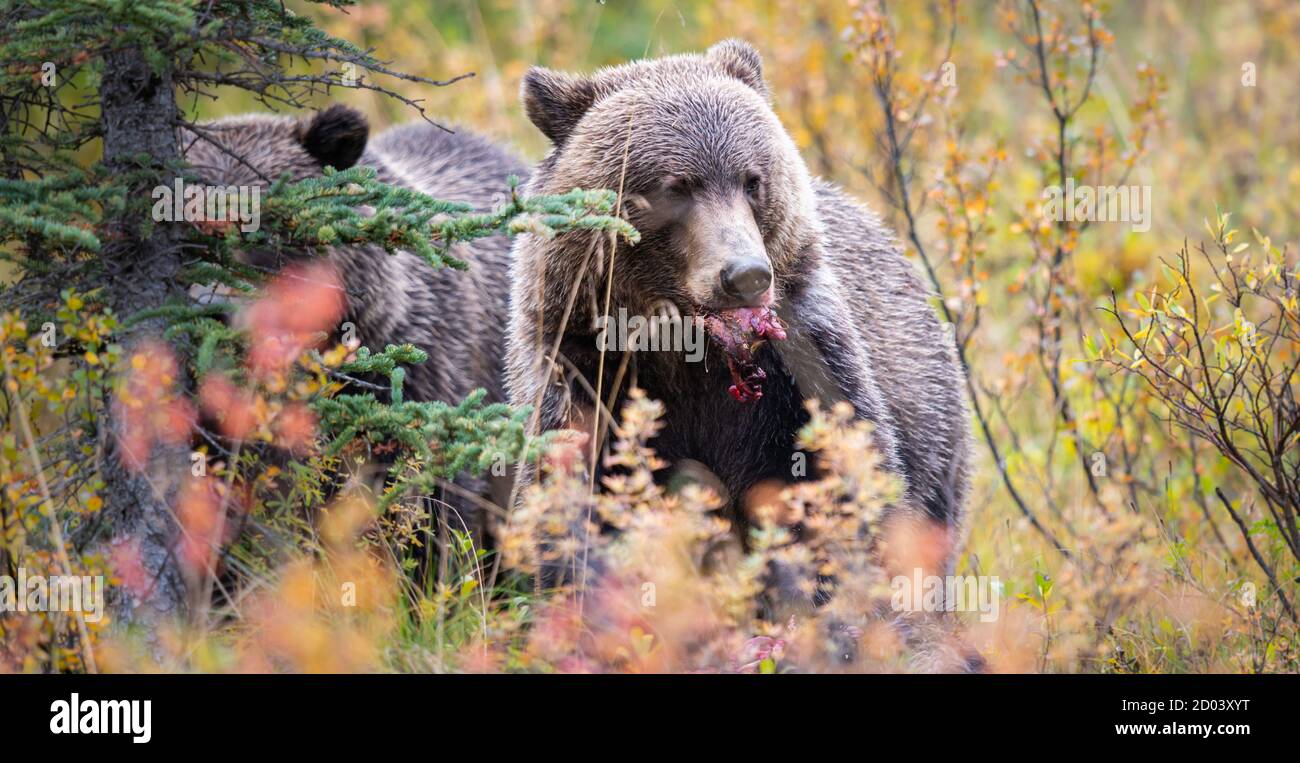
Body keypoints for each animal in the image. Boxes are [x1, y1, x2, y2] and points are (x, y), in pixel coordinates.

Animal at [505, 41, 973, 614]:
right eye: (676, 187)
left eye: (752, 180)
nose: (745, 275)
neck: (688, 352)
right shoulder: (583, 372)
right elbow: (575, 499)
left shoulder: (802, 375)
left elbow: (830, 491)